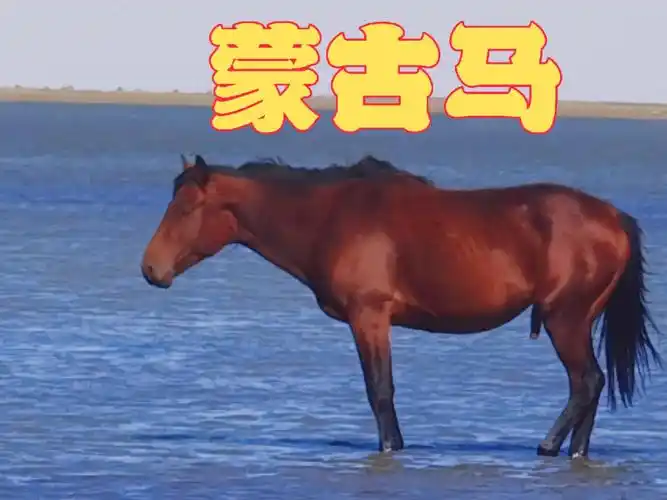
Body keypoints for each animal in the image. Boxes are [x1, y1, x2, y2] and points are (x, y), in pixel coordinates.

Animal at [140, 153, 662, 460]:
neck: (330, 215)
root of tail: (612, 215)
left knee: (586, 382)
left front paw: (392, 448)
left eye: (185, 208)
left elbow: (380, 390)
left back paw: (549, 446)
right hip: (577, 319)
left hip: (564, 319)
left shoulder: (369, 317)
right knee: (590, 385)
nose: (150, 269)